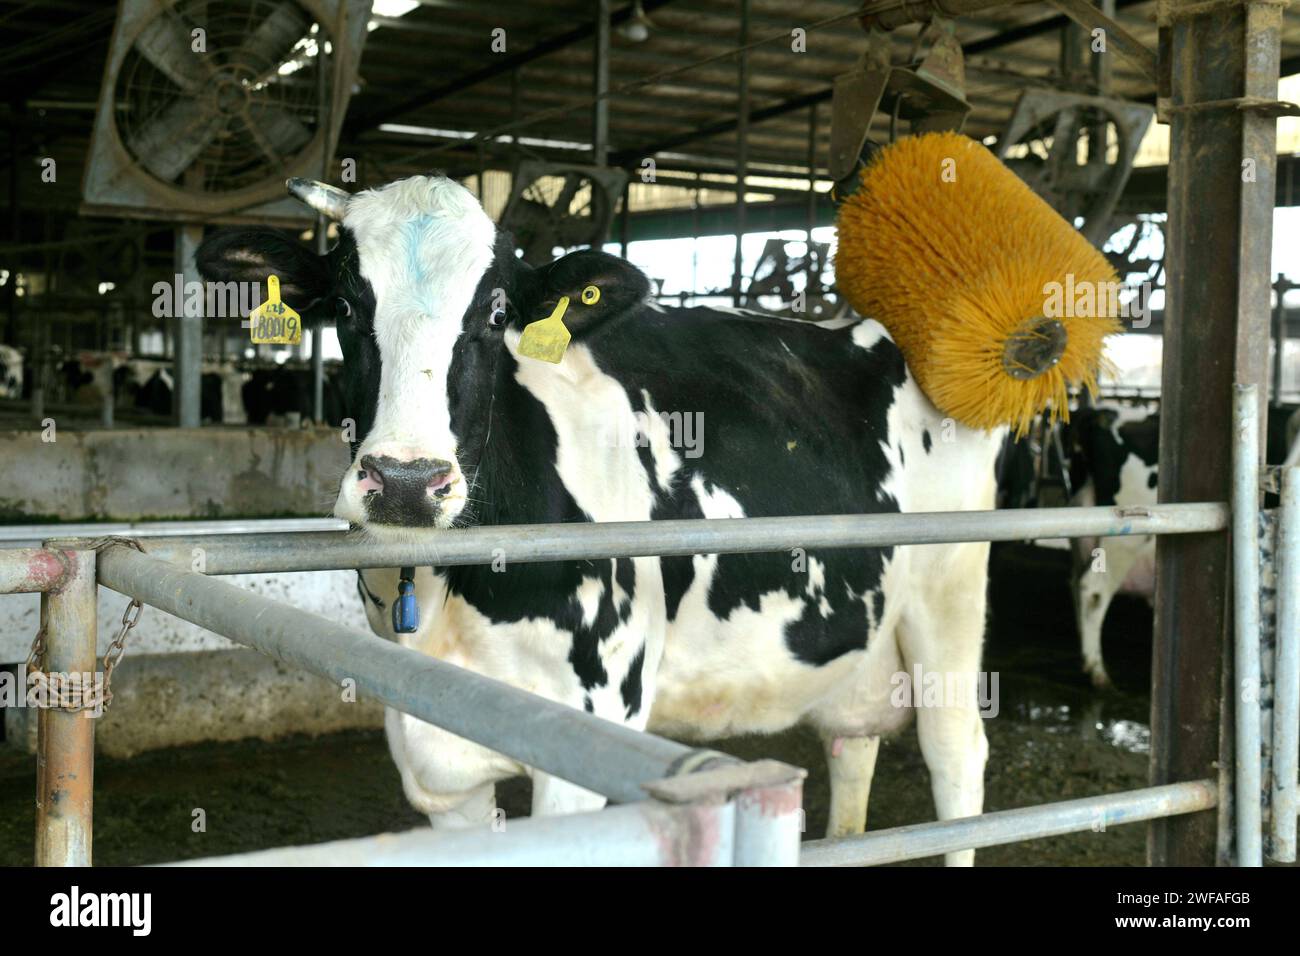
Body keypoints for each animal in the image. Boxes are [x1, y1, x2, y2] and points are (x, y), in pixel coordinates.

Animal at [197, 175, 1007, 865]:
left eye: (496, 313)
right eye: (346, 307)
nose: (405, 481)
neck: (454, 591)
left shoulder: (592, 727)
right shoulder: (436, 746)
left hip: (949, 594)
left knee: (956, 758)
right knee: (852, 745)